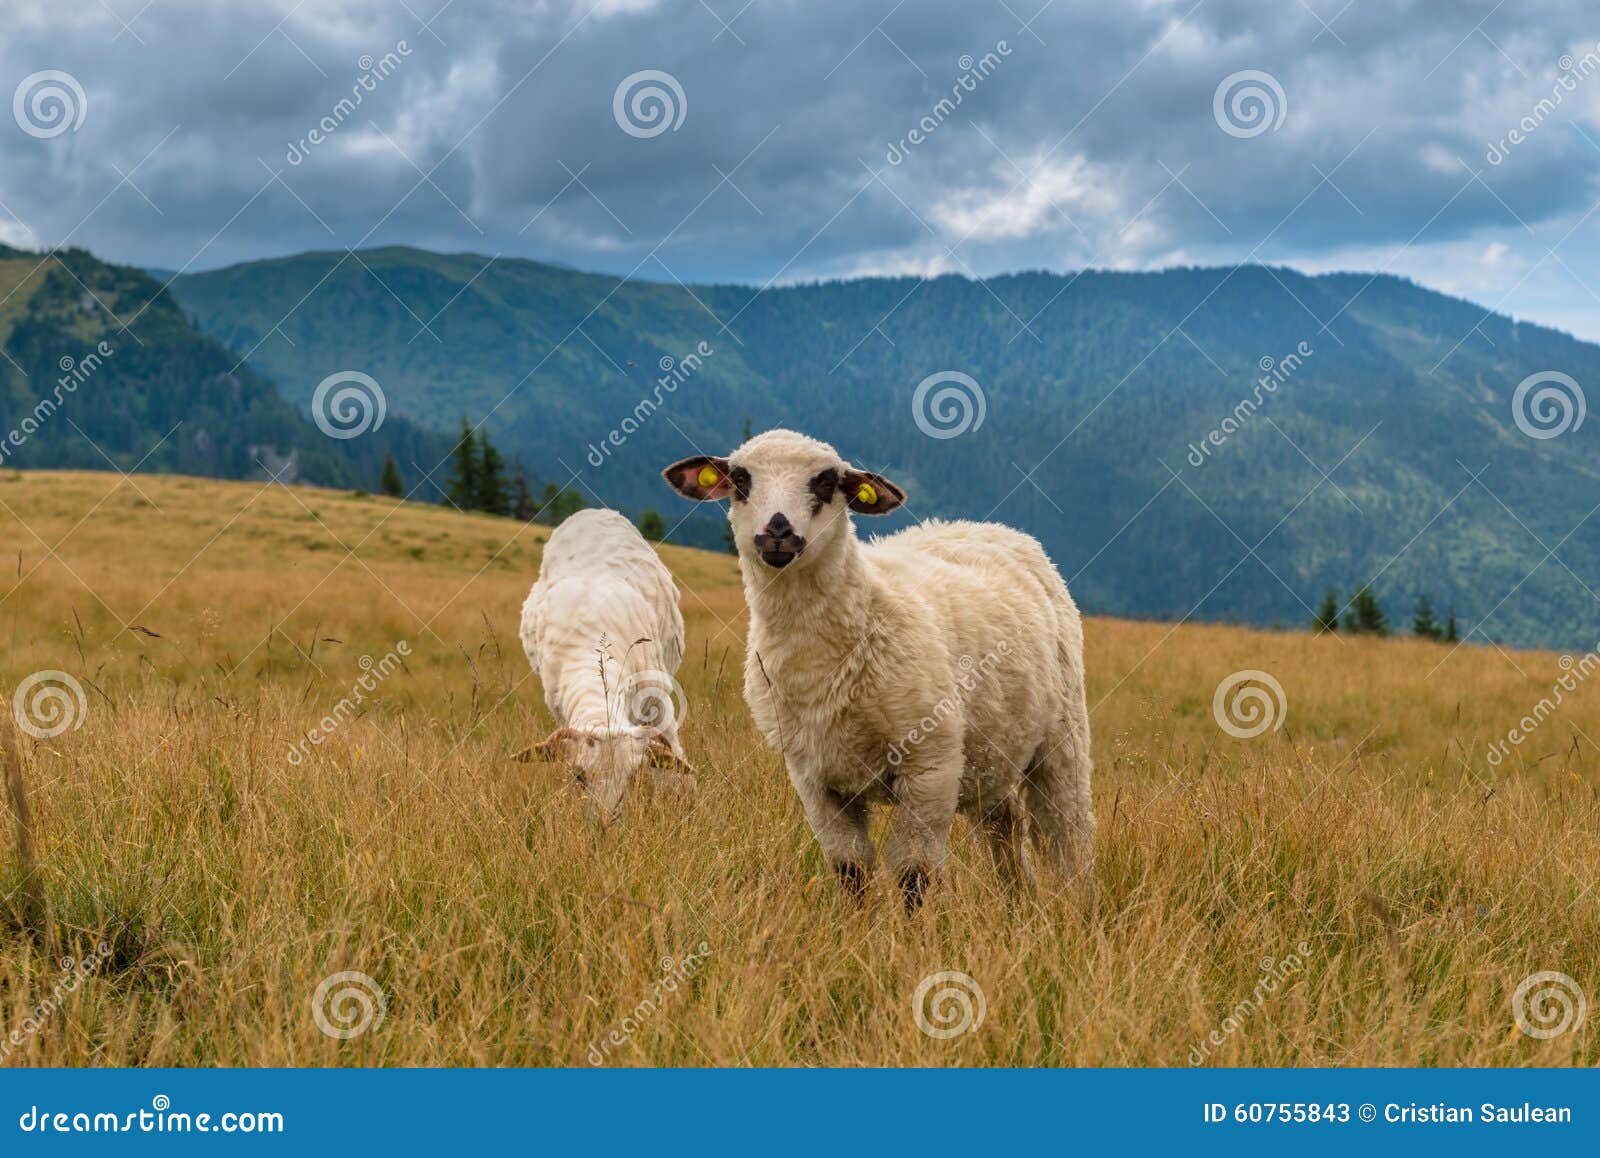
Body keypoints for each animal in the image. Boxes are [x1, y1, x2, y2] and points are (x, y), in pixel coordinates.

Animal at [519, 507, 695, 818]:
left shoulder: (658, 699)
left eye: (632, 777)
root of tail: (592, 511)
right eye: (579, 775)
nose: (605, 821)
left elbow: (674, 762)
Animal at [663, 429, 1092, 910]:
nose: (778, 532)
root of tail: (989, 527)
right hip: (992, 753)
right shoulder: (814, 780)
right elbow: (851, 869)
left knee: (1067, 834)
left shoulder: (931, 768)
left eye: (826, 481)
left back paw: (1075, 905)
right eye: (740, 479)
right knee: (1006, 825)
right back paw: (1018, 901)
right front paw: (855, 927)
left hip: (1063, 739)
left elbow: (914, 875)